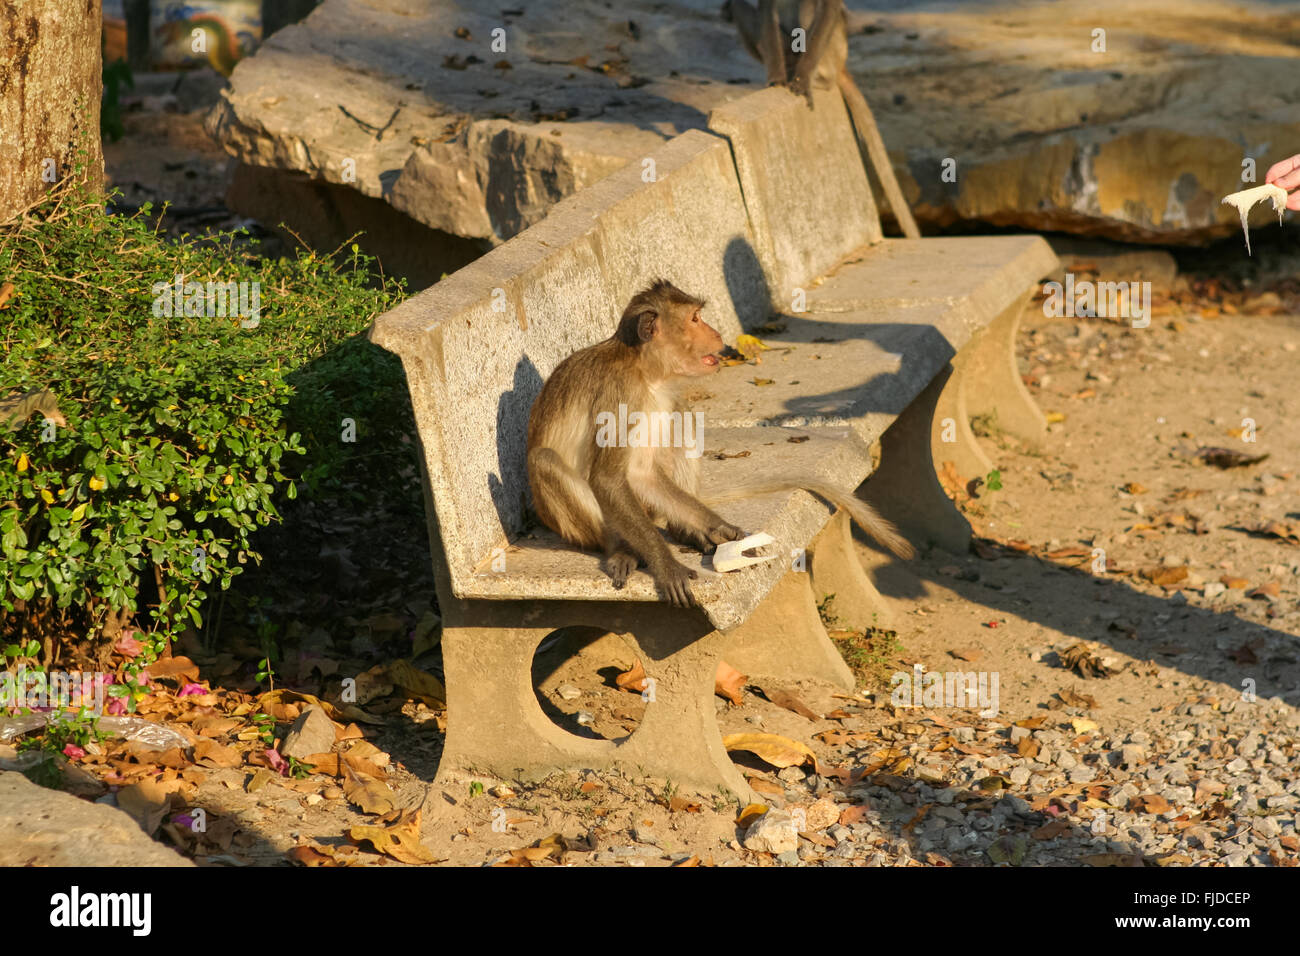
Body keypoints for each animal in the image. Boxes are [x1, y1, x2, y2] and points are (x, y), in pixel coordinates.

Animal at [527, 279, 913, 608]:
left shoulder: (658, 396)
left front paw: (719, 529)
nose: (715, 331)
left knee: (680, 414)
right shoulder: (620, 393)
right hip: (574, 526)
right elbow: (609, 478)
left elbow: (640, 473)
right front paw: (664, 563)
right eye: (695, 318)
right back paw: (621, 549)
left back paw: (686, 531)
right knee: (545, 459)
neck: (646, 371)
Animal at [723, 0, 922, 241]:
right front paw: (776, 80)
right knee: (739, 5)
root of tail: (840, 67)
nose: (785, 76)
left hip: (833, 50)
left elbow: (828, 6)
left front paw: (802, 83)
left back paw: (820, 80)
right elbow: (766, 8)